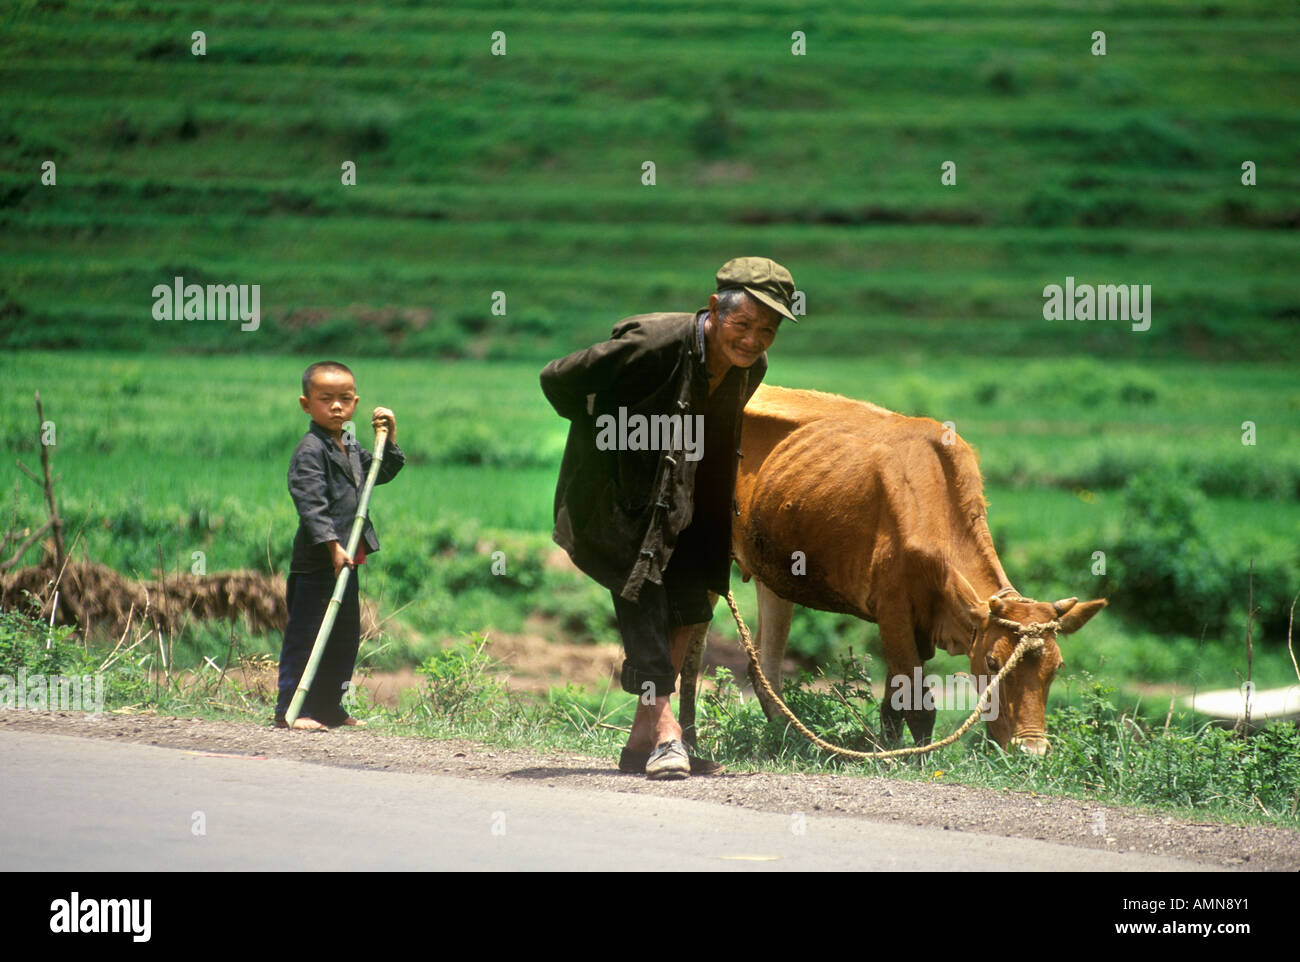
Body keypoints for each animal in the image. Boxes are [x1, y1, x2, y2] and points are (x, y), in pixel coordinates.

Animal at [678, 384, 1106, 756]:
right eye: (992, 663)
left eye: (1057, 667)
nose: (1032, 751)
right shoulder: (894, 611)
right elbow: (918, 708)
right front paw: (914, 761)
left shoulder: (917, 625)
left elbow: (892, 706)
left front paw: (886, 752)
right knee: (691, 652)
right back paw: (690, 739)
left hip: (773, 574)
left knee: (762, 667)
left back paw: (791, 741)